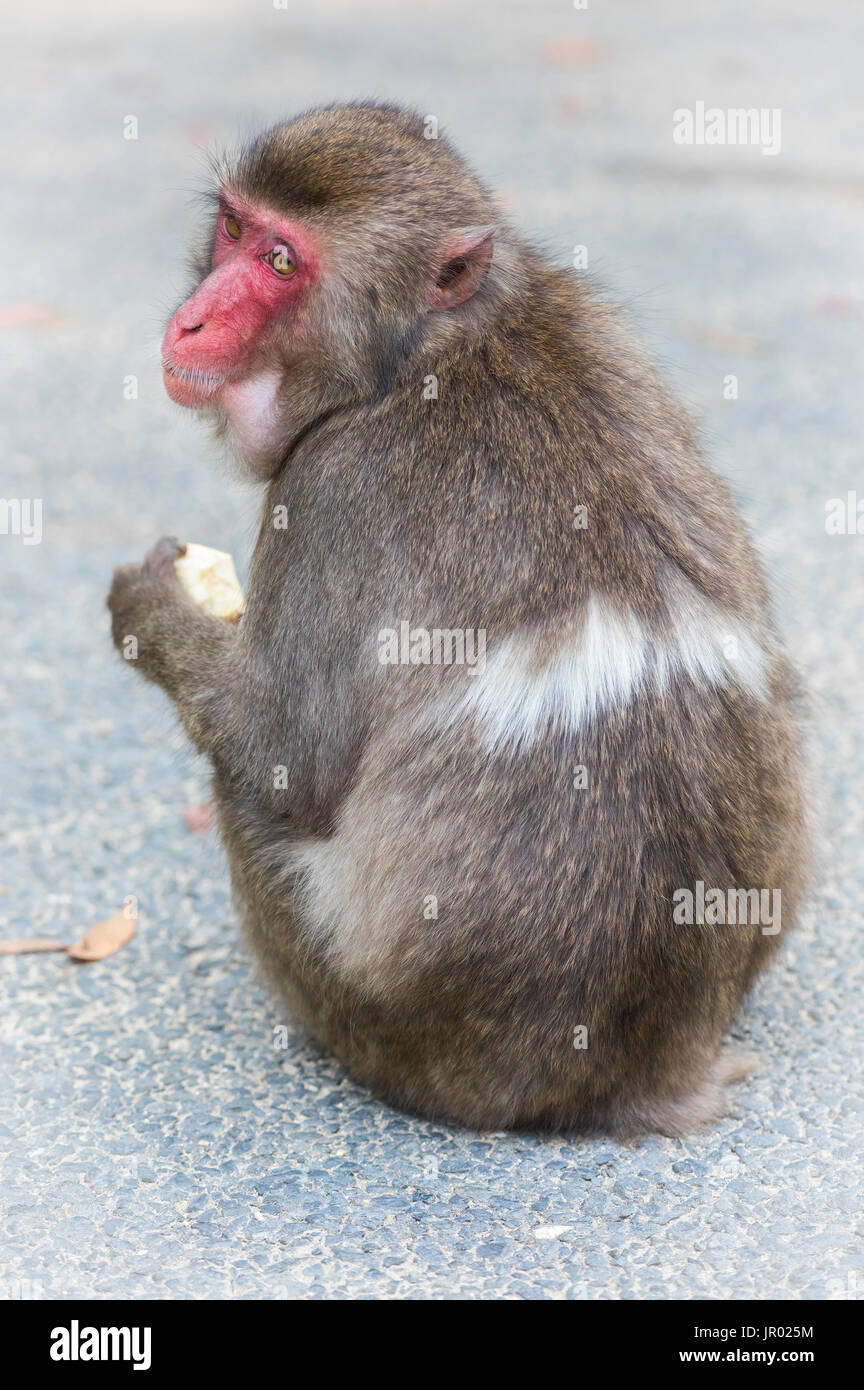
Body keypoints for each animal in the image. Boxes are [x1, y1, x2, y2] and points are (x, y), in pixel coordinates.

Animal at [107, 102, 808, 1137]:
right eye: (233, 227)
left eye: (281, 261)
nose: (192, 318)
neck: (425, 355)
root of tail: (642, 1067)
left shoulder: (330, 484)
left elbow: (285, 756)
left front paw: (148, 603)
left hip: (382, 1026)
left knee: (248, 801)